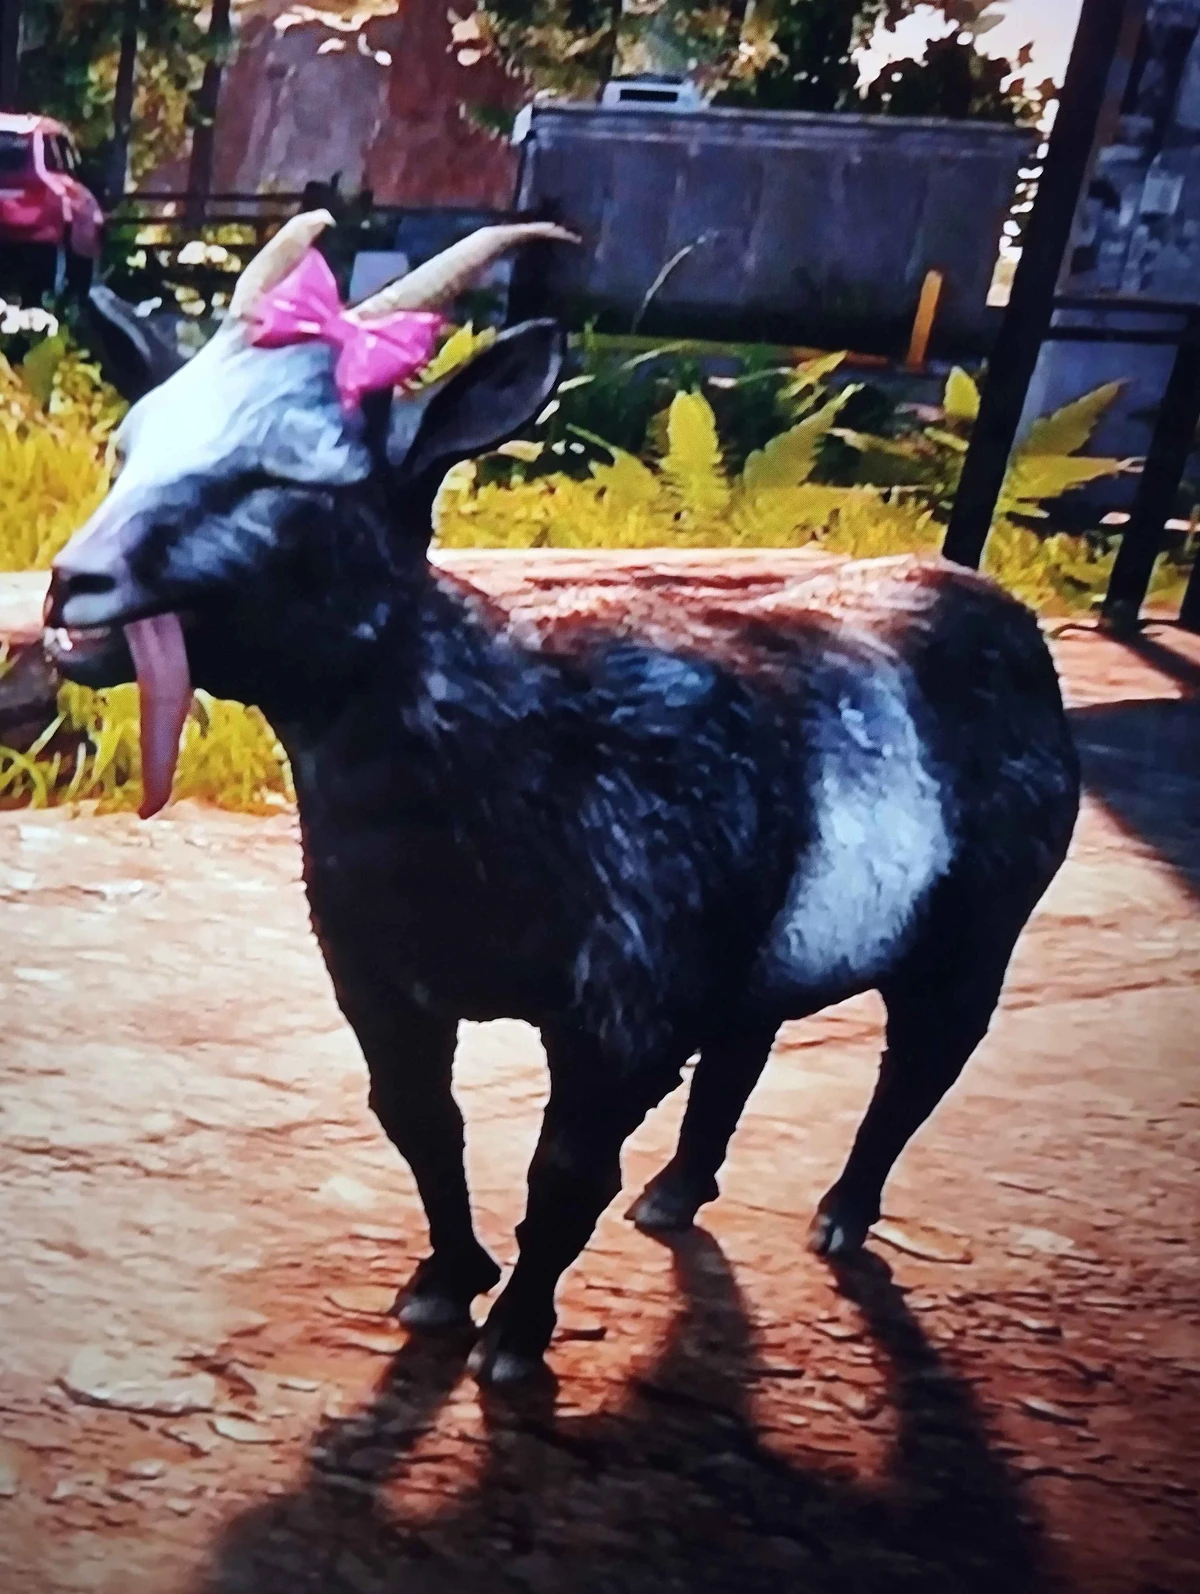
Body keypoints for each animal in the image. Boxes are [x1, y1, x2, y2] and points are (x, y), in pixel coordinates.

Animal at [44, 216, 1081, 1387]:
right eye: (126, 448)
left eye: (285, 480)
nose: (74, 583)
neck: (507, 739)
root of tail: (1001, 608)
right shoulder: (383, 985)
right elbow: (421, 1125)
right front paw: (446, 1282)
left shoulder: (624, 1014)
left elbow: (566, 1170)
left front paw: (514, 1336)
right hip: (764, 948)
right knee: (747, 1044)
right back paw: (676, 1196)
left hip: (978, 931)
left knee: (922, 1068)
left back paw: (843, 1214)